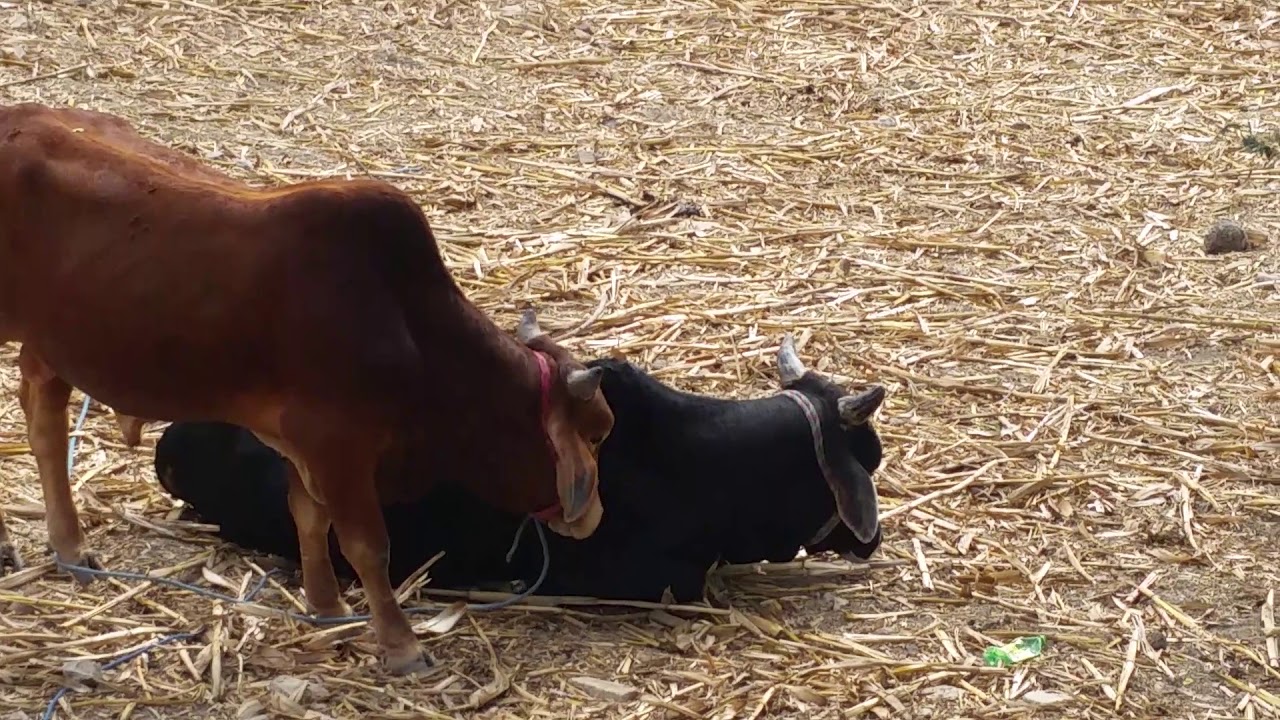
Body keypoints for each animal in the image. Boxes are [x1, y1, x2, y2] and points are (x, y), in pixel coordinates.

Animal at [0, 102, 614, 674]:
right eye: (597, 435)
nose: (593, 517)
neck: (411, 330)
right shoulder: (337, 447)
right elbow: (368, 547)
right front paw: (401, 645)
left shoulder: (304, 445)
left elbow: (310, 518)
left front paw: (327, 607)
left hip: (52, 345)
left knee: (43, 416)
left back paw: (70, 546)